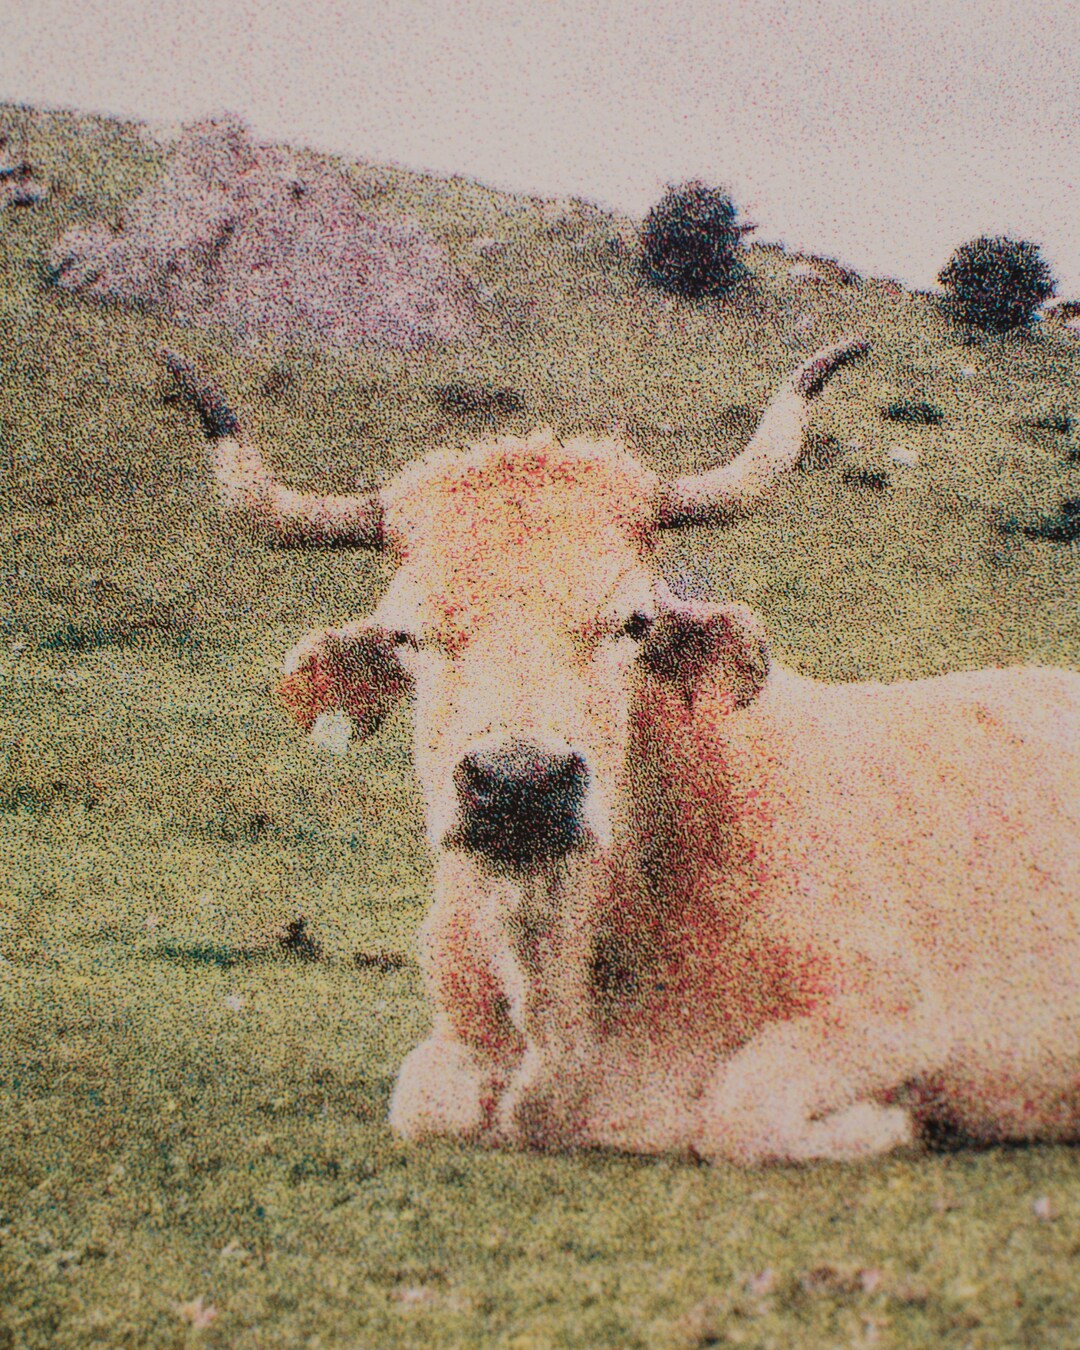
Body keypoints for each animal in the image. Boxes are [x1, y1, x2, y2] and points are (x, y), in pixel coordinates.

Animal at [165, 341, 1080, 1165]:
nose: (521, 782)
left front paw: (896, 1124)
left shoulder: (892, 1009)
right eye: (406, 633)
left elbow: (739, 1114)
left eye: (632, 622)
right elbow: (424, 1103)